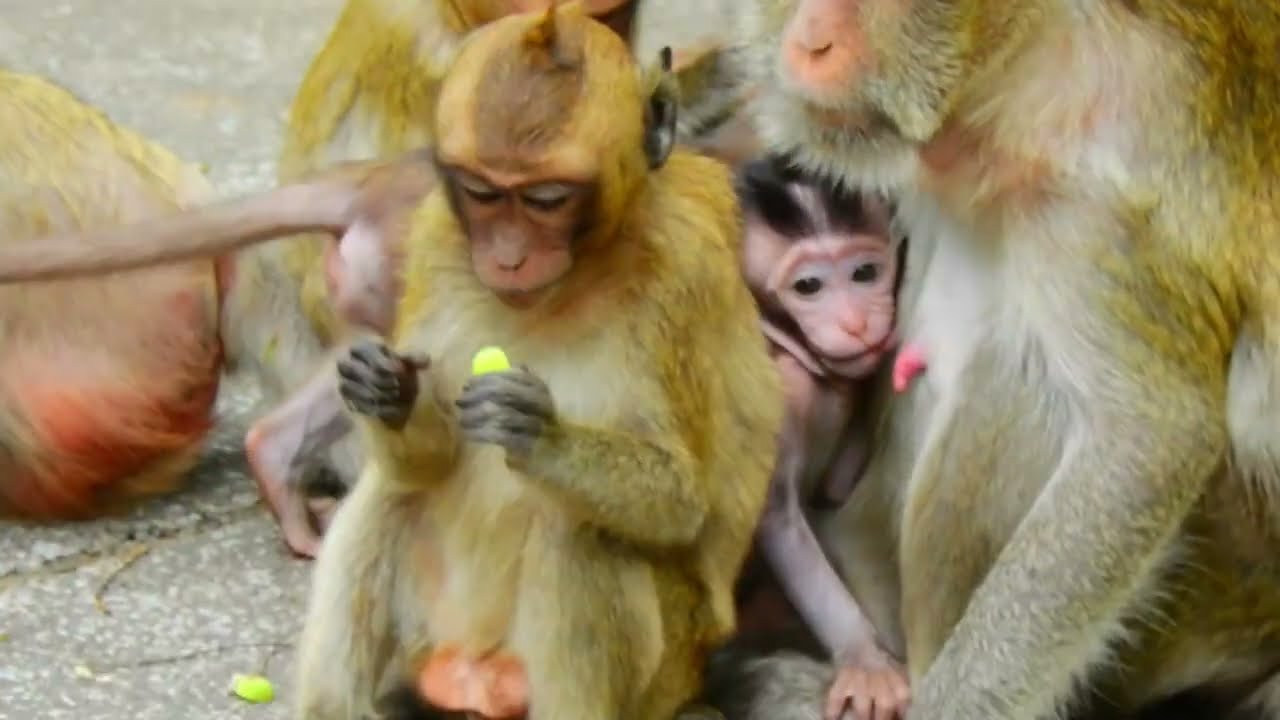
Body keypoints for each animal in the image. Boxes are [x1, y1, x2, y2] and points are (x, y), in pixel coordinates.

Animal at [297, 5, 782, 719]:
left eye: (547, 198)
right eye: (482, 192)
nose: (508, 255)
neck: (576, 277)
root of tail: (476, 671)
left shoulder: (681, 276)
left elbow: (682, 501)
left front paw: (540, 433)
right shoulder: (435, 235)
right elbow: (425, 463)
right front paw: (387, 390)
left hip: (667, 669)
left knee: (580, 533)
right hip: (438, 630)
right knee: (392, 492)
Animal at [732, 153, 911, 720]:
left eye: (865, 273)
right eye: (808, 286)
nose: (855, 323)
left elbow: (833, 485)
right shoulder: (775, 387)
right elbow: (779, 516)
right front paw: (866, 659)